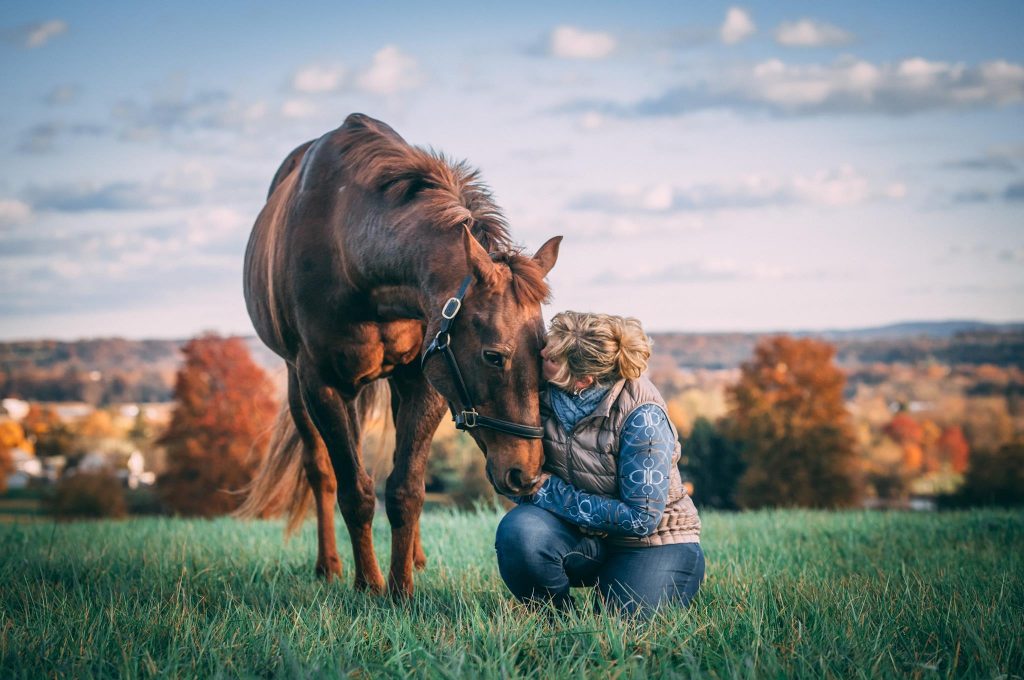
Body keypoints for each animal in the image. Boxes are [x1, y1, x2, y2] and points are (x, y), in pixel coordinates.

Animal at [235, 113, 561, 597]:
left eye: (543, 354)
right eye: (493, 356)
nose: (528, 474)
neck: (352, 248)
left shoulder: (424, 379)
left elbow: (407, 487)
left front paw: (401, 588)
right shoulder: (323, 384)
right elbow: (353, 490)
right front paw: (369, 585)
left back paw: (416, 557)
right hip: (298, 385)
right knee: (319, 471)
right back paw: (329, 565)